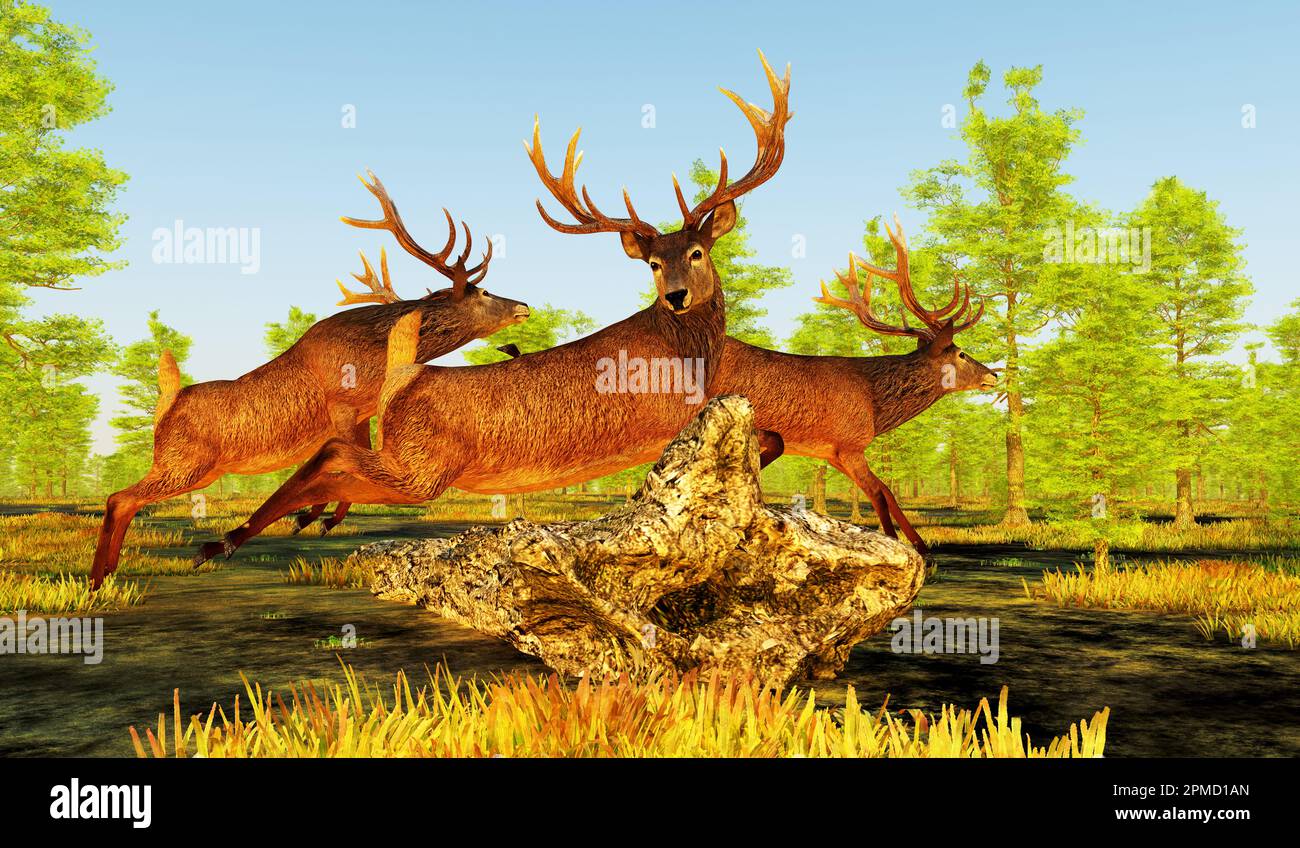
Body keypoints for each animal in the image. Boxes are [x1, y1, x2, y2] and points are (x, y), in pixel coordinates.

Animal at [89, 177, 530, 588]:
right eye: (483, 291)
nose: (523, 306)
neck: (375, 352)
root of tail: (165, 407)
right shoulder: (343, 404)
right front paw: (306, 520)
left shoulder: (362, 413)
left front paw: (312, 517)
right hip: (183, 463)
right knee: (119, 498)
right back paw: (97, 578)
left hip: (194, 469)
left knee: (125, 500)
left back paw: (108, 574)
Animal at [192, 51, 792, 566]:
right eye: (652, 264)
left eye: (696, 252)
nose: (676, 296)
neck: (687, 356)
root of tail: (403, 378)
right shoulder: (664, 417)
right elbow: (768, 437)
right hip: (424, 468)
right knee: (335, 454)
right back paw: (236, 537)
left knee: (327, 457)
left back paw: (237, 537)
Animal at [715, 217, 997, 555]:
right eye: (961, 353)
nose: (993, 375)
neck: (874, 403)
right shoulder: (850, 445)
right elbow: (879, 493)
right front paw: (897, 545)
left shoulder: (834, 452)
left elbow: (886, 490)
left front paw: (919, 544)